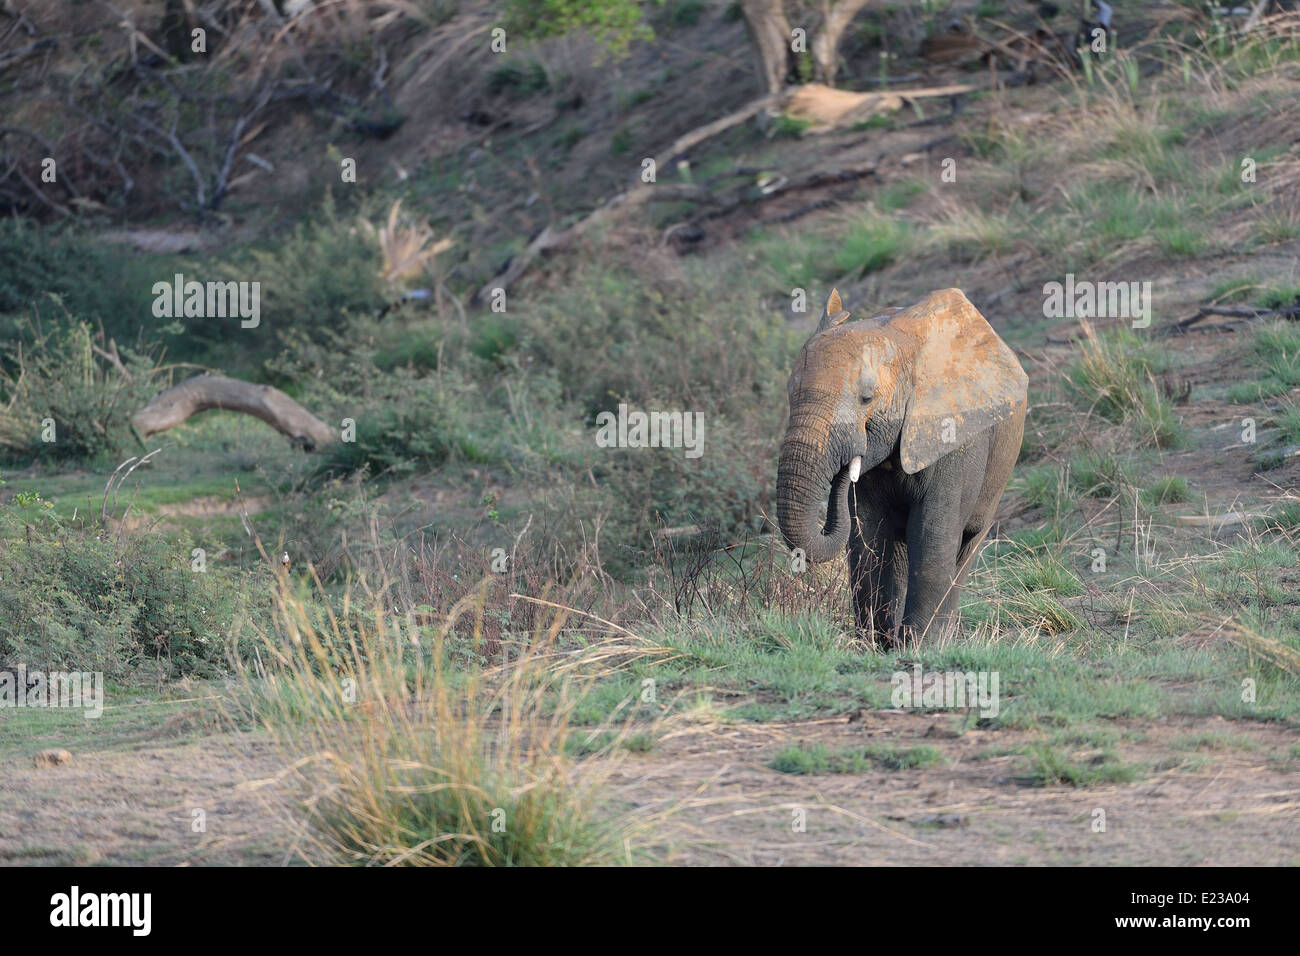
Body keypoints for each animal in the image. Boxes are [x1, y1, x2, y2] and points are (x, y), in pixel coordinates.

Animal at [775, 287, 1027, 648]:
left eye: (867, 399)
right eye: (790, 394)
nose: (844, 466)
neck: (901, 343)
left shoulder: (954, 437)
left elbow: (933, 533)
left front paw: (918, 646)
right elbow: (867, 534)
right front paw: (877, 644)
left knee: (966, 545)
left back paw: (943, 637)